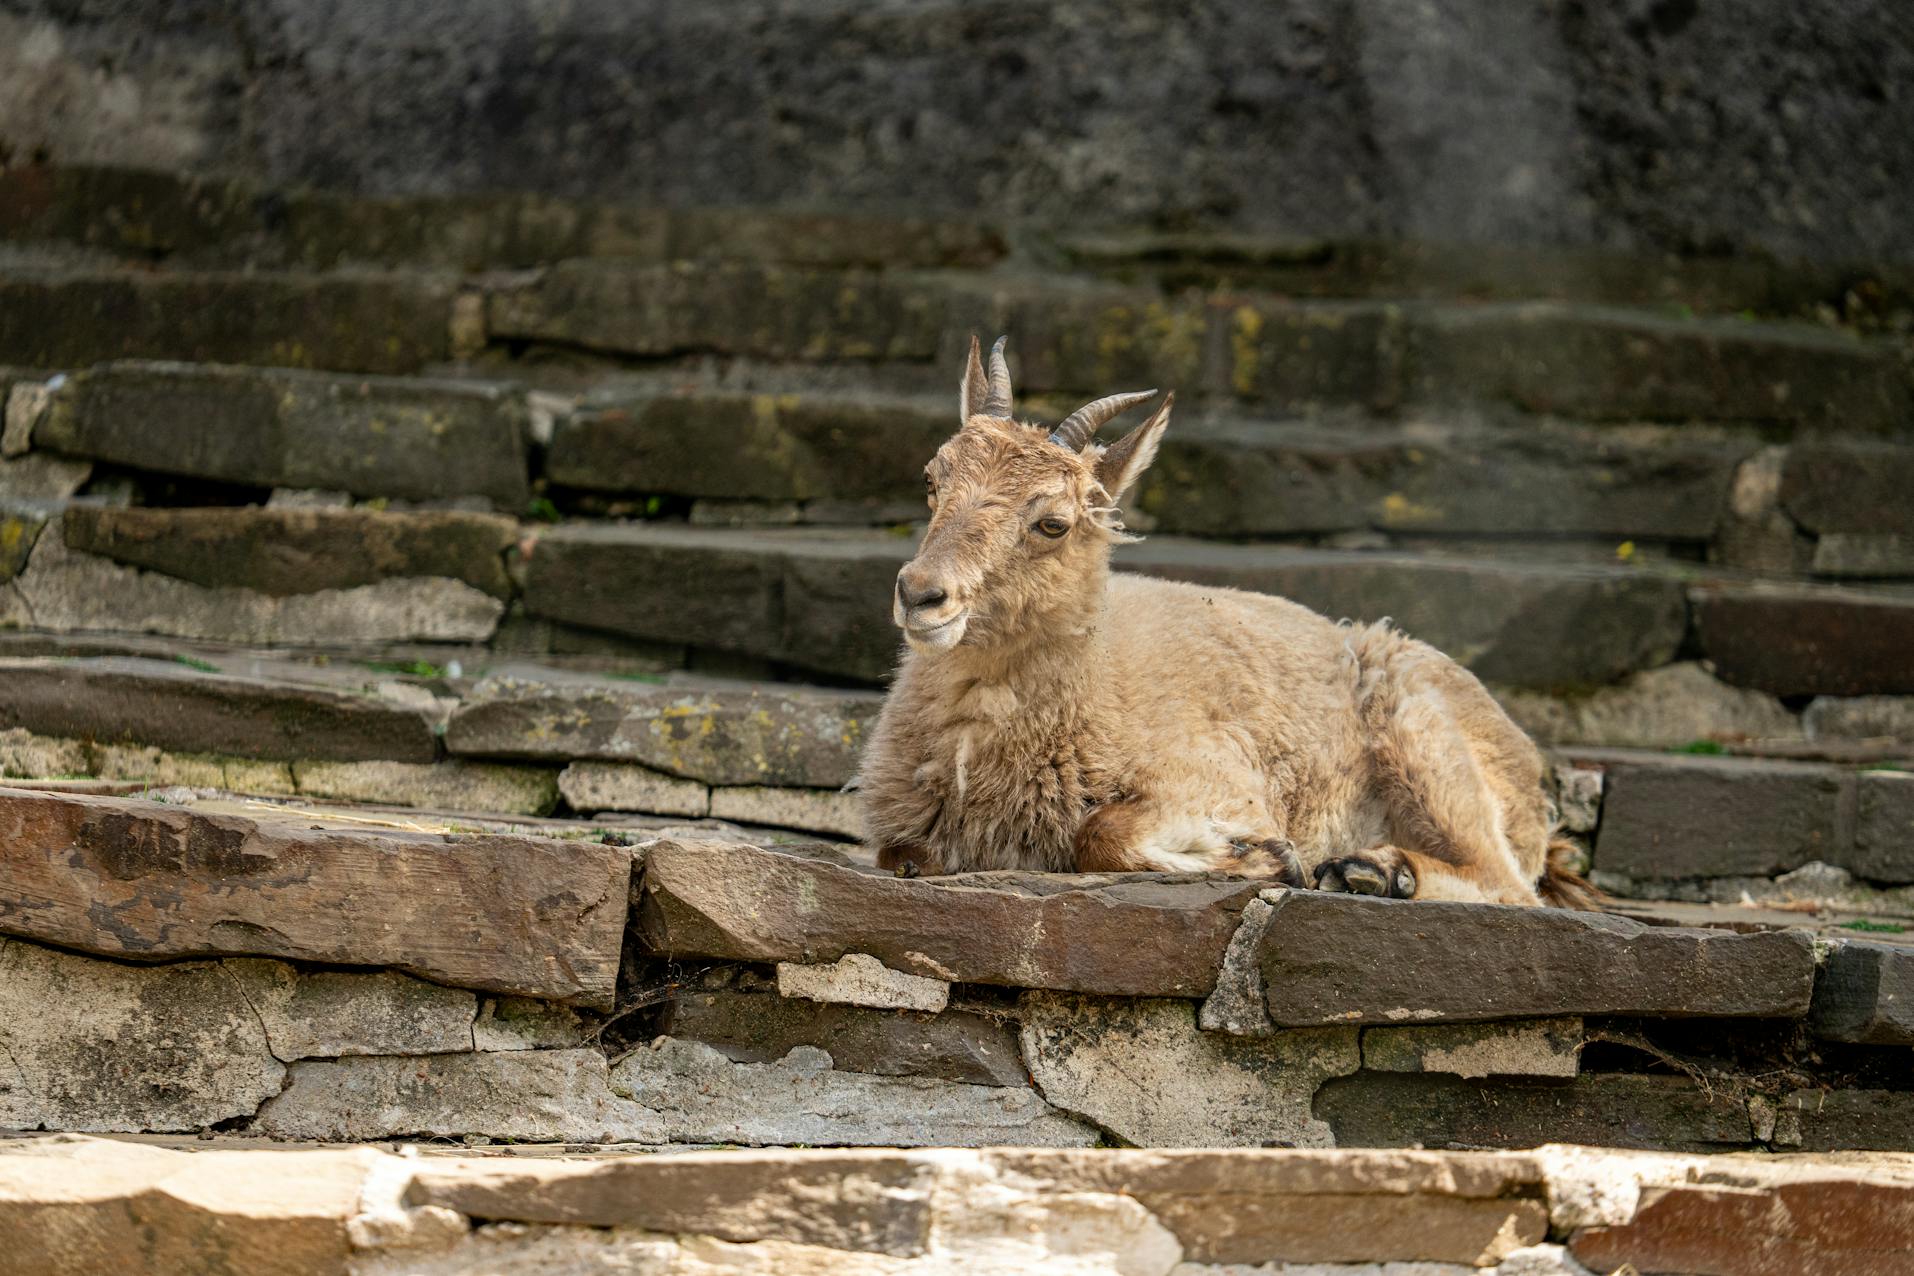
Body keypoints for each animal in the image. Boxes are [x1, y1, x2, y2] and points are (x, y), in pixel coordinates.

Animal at [856, 336, 1598, 908]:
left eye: (1053, 523)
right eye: (933, 480)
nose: (921, 594)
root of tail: (1529, 776)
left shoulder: (1218, 778)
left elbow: (1102, 835)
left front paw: (1270, 858)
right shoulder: (908, 836)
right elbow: (904, 855)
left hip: (1423, 741)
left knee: (1509, 885)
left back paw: (1372, 870)